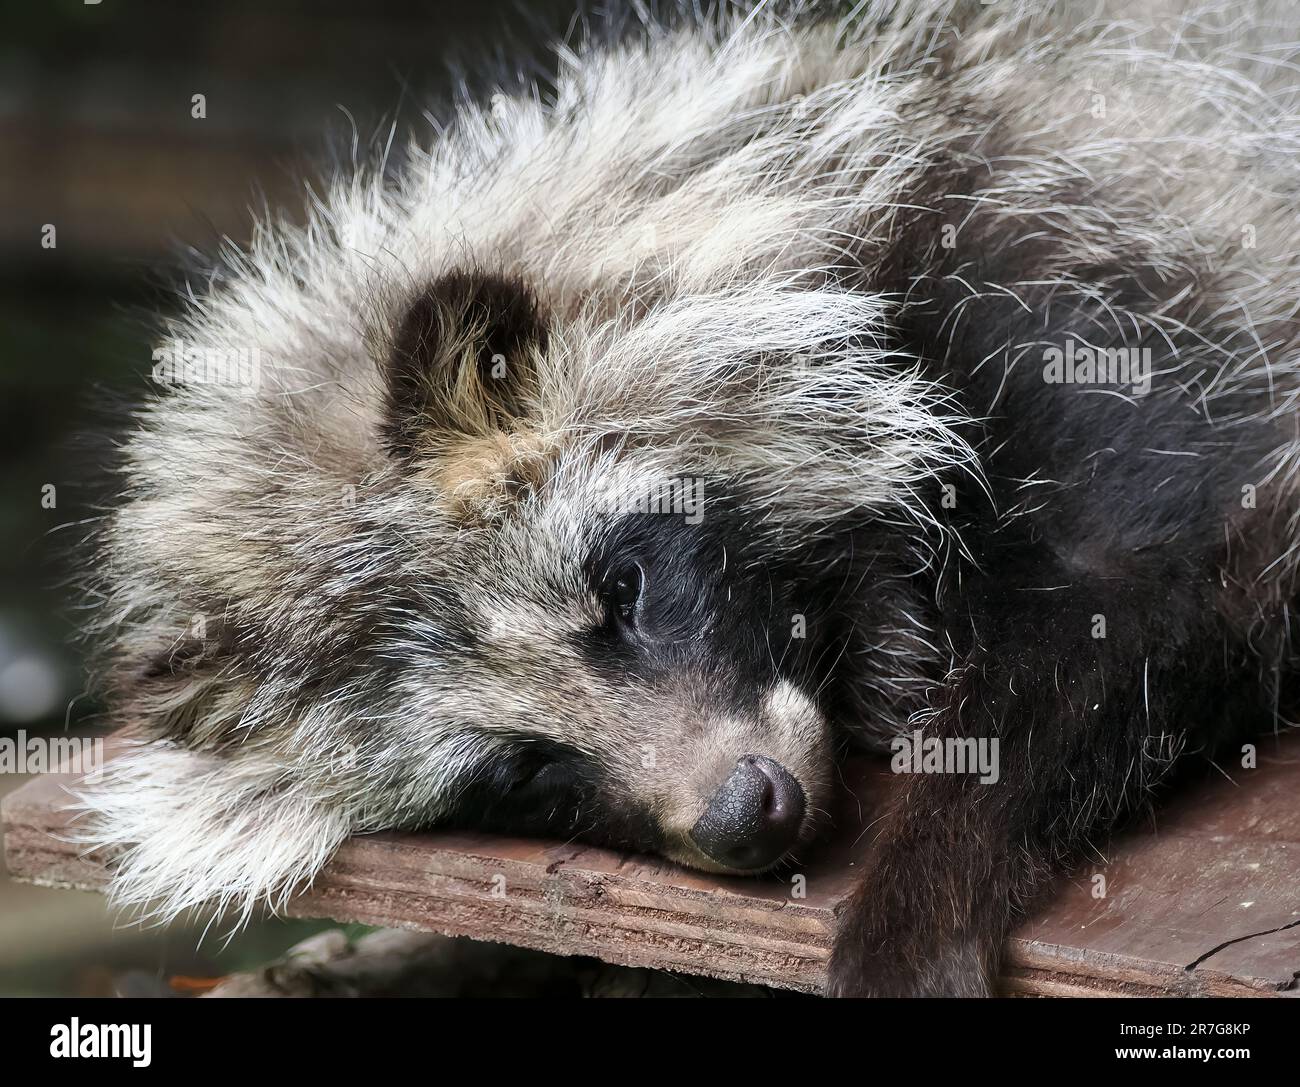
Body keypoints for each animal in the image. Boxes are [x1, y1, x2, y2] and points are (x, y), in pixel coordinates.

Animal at [77, 0, 1300, 997]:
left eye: (621, 588)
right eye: (520, 771)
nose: (744, 813)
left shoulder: (1090, 303)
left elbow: (1153, 589)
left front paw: (922, 894)